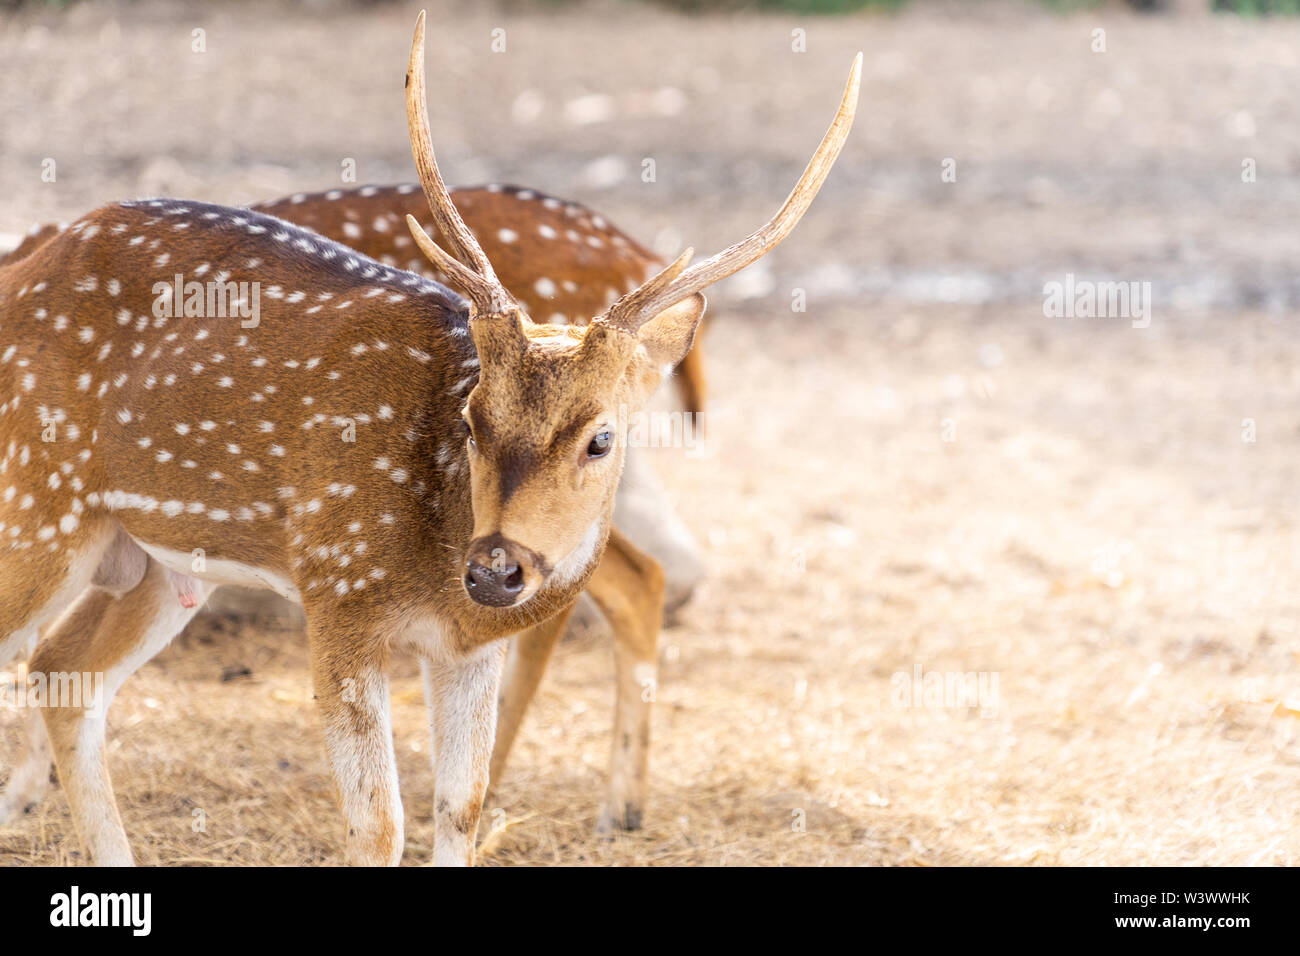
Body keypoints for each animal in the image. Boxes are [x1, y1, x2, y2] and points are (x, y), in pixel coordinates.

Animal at [0, 11, 859, 865]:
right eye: (474, 417)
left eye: (601, 438)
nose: (496, 569)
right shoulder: (338, 591)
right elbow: (379, 823)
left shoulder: (468, 651)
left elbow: (458, 806)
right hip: (35, 501)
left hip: (160, 558)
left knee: (62, 671)